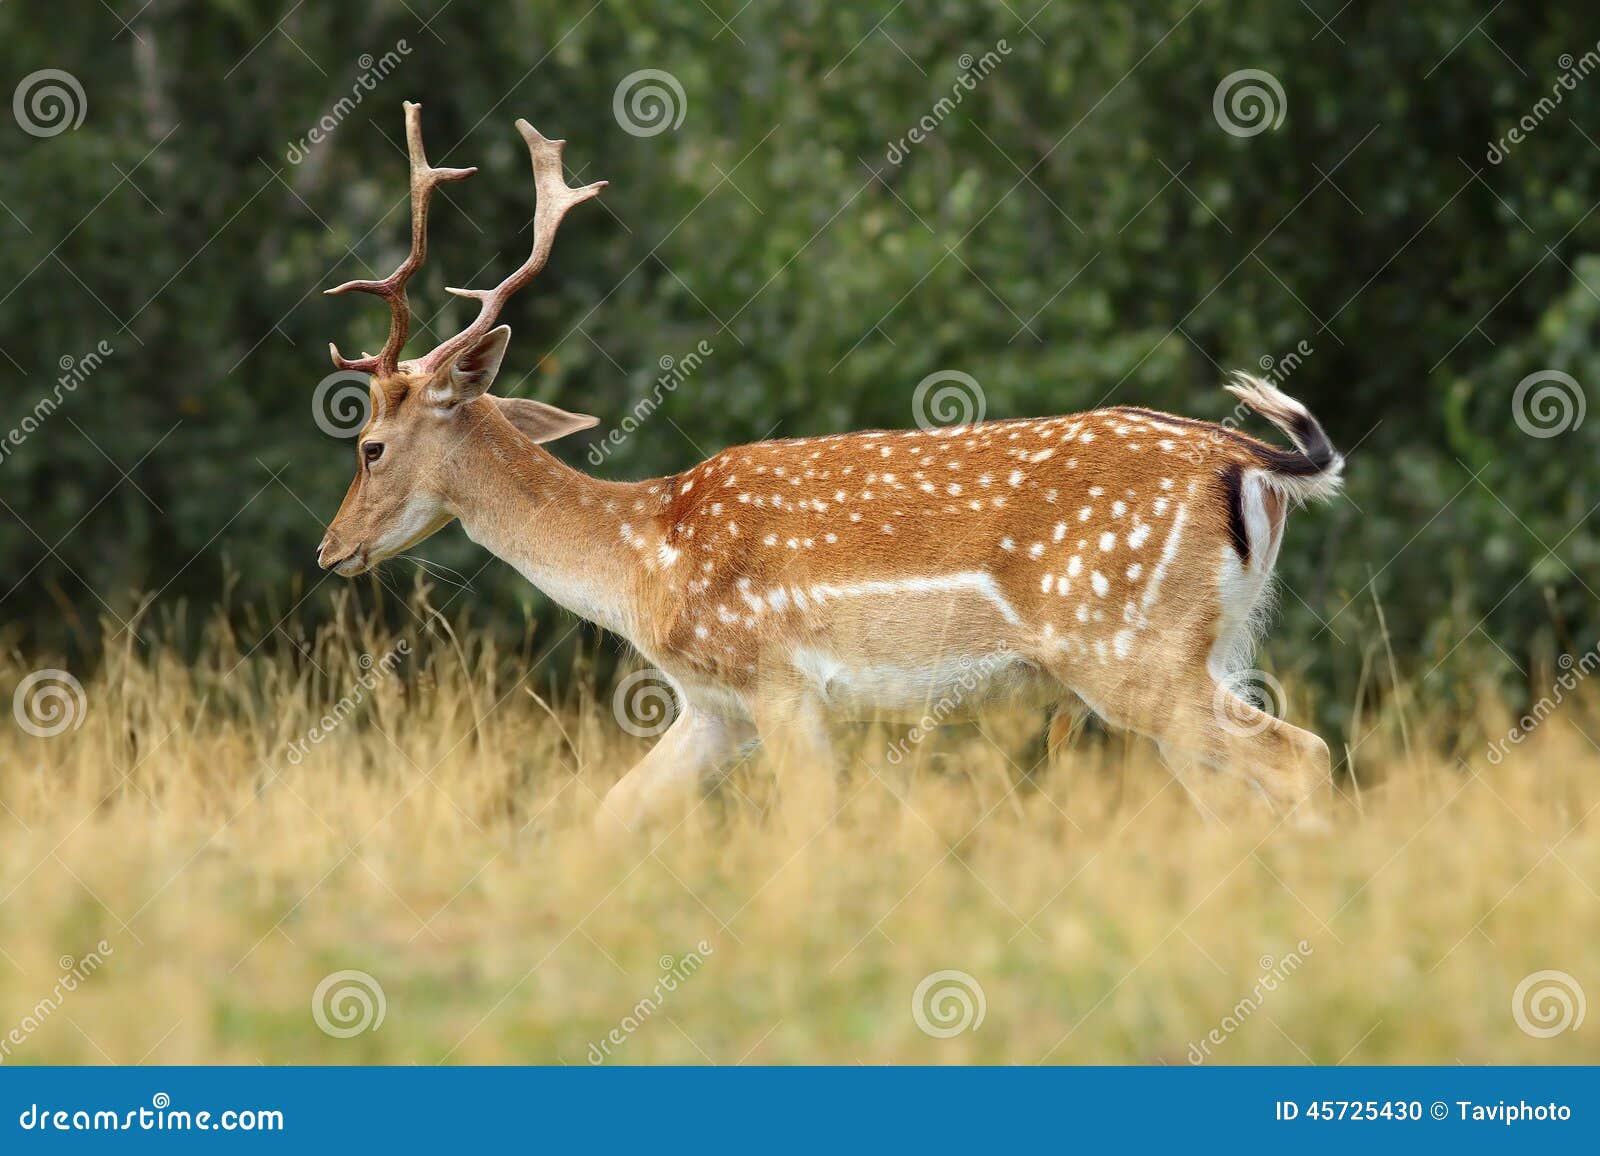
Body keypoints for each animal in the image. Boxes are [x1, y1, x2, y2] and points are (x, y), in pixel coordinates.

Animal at [316, 102, 1345, 835]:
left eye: (369, 444)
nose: (329, 552)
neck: (641, 561)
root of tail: (1252, 460)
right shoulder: (711, 706)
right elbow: (609, 817)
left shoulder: (778, 680)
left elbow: (809, 833)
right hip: (1208, 647)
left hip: (1128, 648)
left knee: (1302, 756)